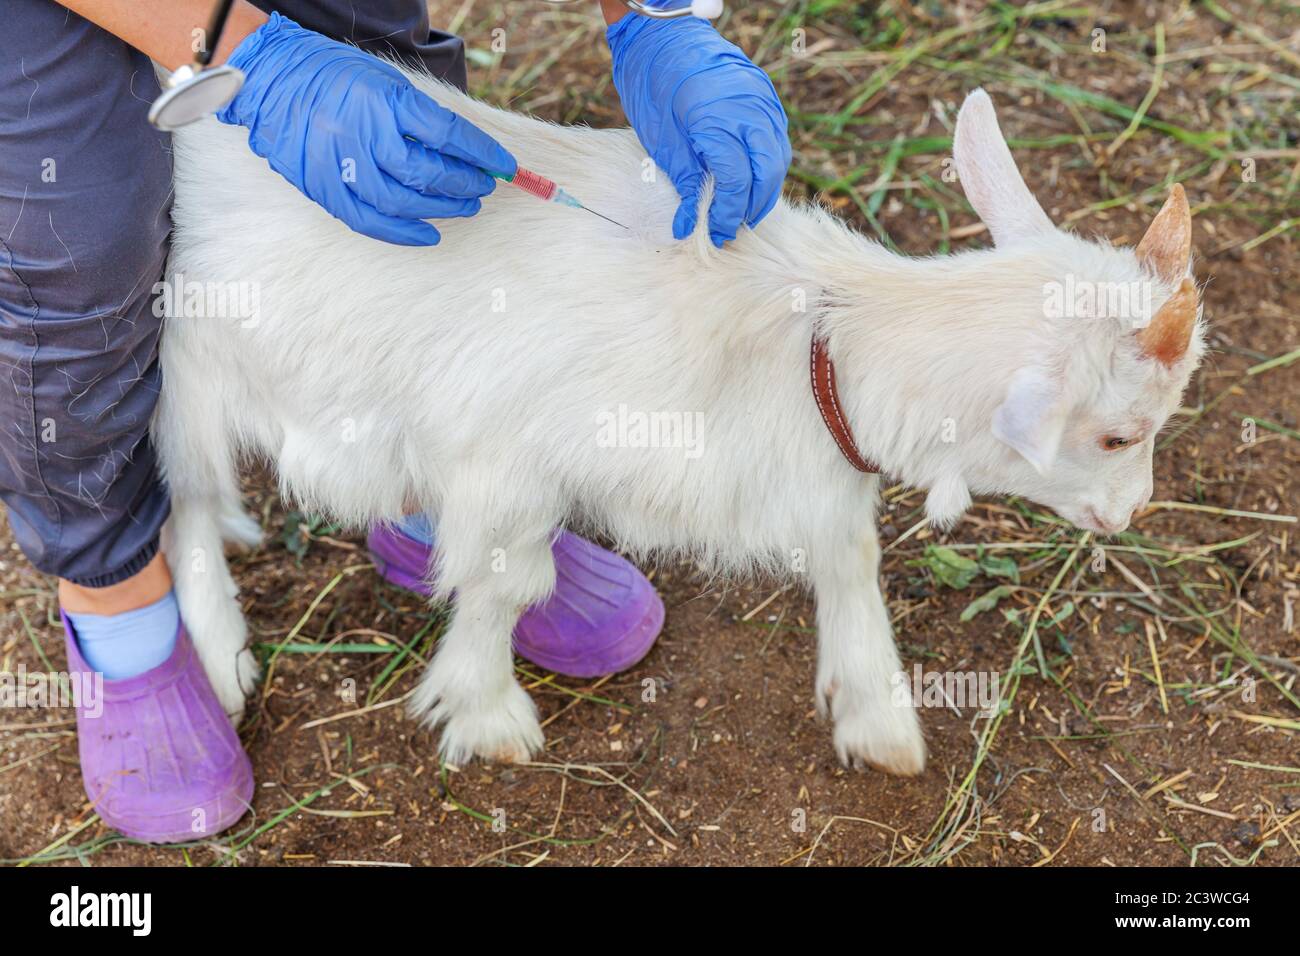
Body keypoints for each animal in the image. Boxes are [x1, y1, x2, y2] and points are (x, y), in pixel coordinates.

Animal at [158, 72, 1203, 775]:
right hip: (179, 369)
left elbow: (849, 555)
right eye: (1118, 434)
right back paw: (216, 657)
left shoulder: (812, 465)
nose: (1134, 514)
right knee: (181, 509)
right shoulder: (507, 467)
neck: (817, 333)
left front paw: (876, 717)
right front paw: (487, 715)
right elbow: (504, 583)